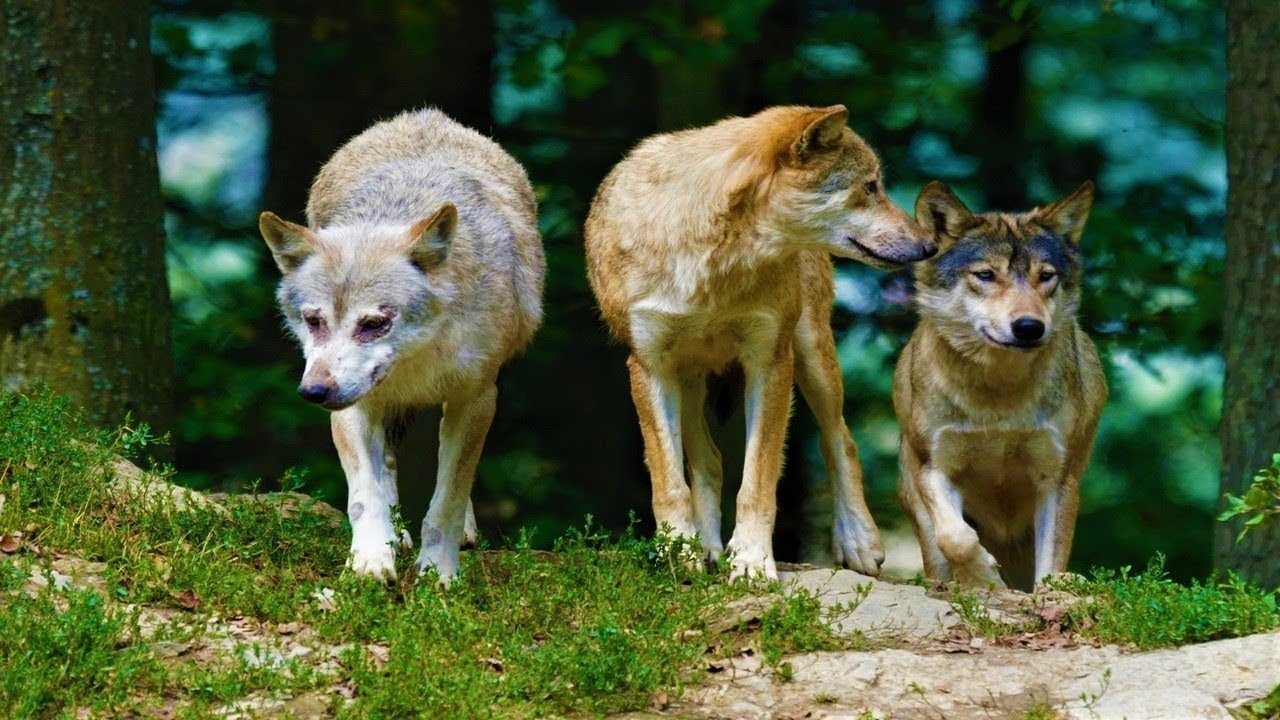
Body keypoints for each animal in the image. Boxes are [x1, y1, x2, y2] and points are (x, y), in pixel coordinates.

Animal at [258, 109, 545, 583]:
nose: (313, 392)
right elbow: (365, 496)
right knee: (387, 467)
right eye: (314, 321)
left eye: (374, 323)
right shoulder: (352, 405)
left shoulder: (477, 398)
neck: (416, 361)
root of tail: (422, 116)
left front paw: (440, 573)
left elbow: (448, 498)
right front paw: (370, 561)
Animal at [585, 105, 937, 580]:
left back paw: (858, 541)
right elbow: (669, 482)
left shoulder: (770, 362)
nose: (930, 245)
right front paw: (679, 554)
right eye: (870, 187)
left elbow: (758, 481)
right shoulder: (649, 366)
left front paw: (752, 561)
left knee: (840, 440)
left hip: (812, 357)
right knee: (710, 460)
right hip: (688, 378)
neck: (714, 264)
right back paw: (707, 549)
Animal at [894, 181, 1106, 590]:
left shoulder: (1058, 477)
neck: (998, 398)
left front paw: (1048, 590)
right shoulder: (934, 466)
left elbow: (1052, 563)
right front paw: (984, 578)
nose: (1029, 327)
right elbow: (956, 538)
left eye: (1046, 276)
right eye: (986, 275)